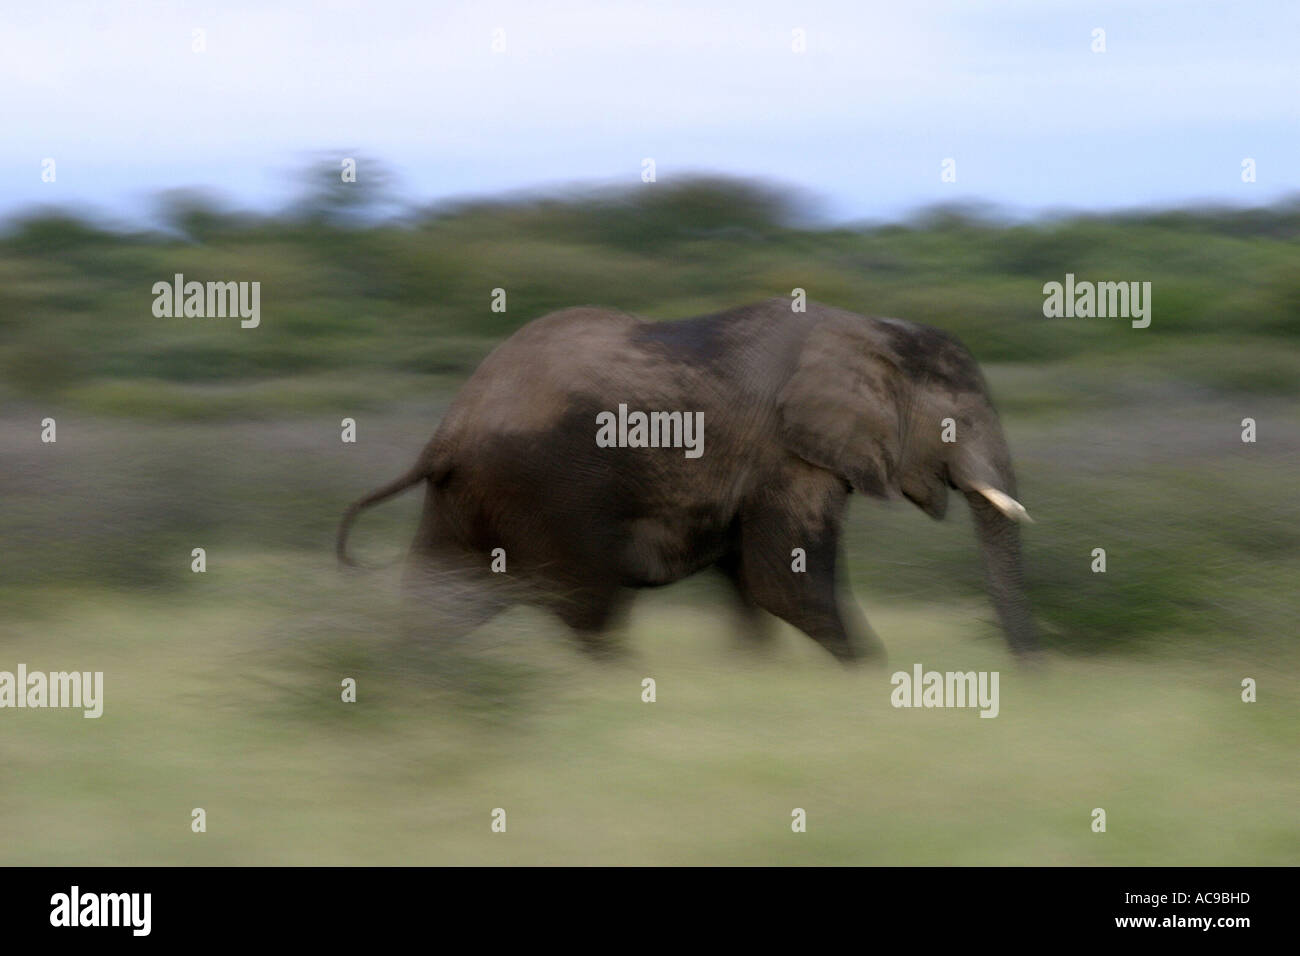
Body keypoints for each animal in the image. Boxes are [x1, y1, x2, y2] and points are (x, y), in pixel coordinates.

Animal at [337, 298, 1038, 662]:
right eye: (959, 422)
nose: (1031, 678)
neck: (870, 329)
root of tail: (448, 428)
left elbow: (750, 580)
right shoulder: (786, 453)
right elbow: (787, 583)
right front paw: (872, 681)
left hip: (466, 496)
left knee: (439, 600)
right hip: (548, 488)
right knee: (590, 603)